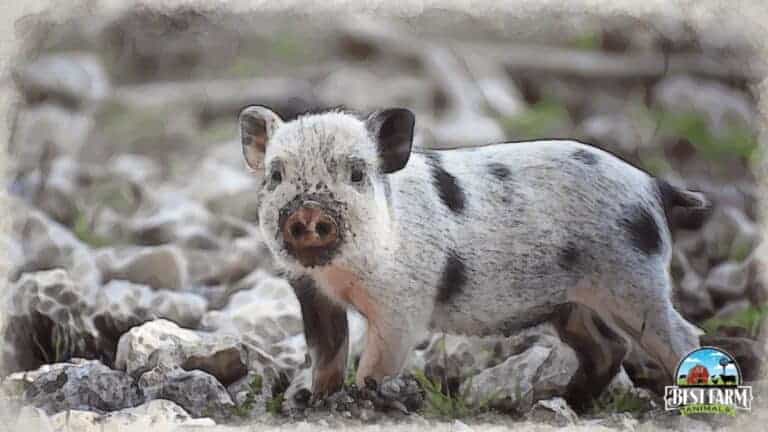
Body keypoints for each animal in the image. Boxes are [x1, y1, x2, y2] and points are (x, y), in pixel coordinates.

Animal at [238, 105, 710, 398]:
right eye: (276, 175)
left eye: (356, 173)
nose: (309, 211)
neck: (339, 274)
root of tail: (653, 184)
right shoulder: (311, 293)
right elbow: (327, 353)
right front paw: (316, 398)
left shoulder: (404, 303)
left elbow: (377, 360)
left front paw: (363, 397)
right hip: (573, 303)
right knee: (608, 347)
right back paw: (563, 399)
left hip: (635, 279)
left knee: (681, 335)